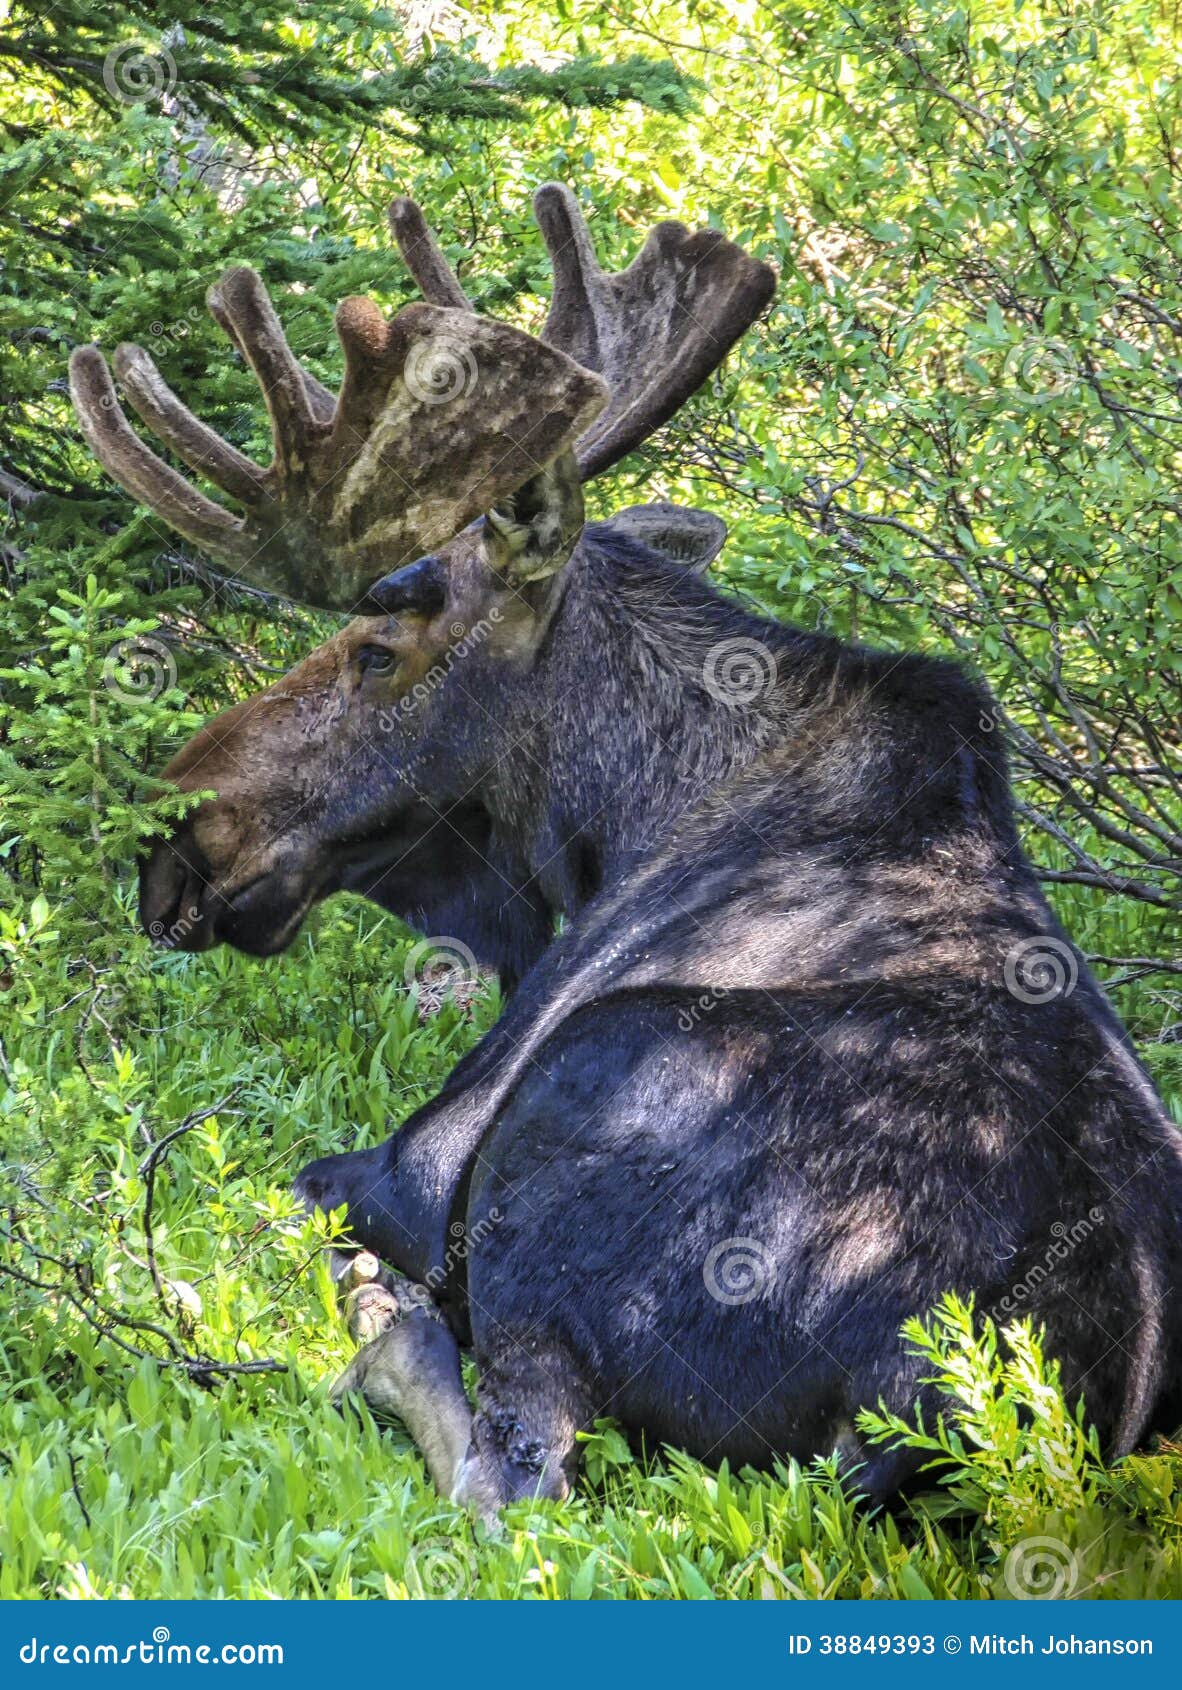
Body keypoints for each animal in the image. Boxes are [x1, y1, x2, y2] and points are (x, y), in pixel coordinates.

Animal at [71, 184, 1182, 1516]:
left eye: (378, 649)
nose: (173, 834)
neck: (619, 816)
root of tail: (941, 1404)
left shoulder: (418, 1157)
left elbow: (282, 1183)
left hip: (575, 1122)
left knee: (506, 1469)